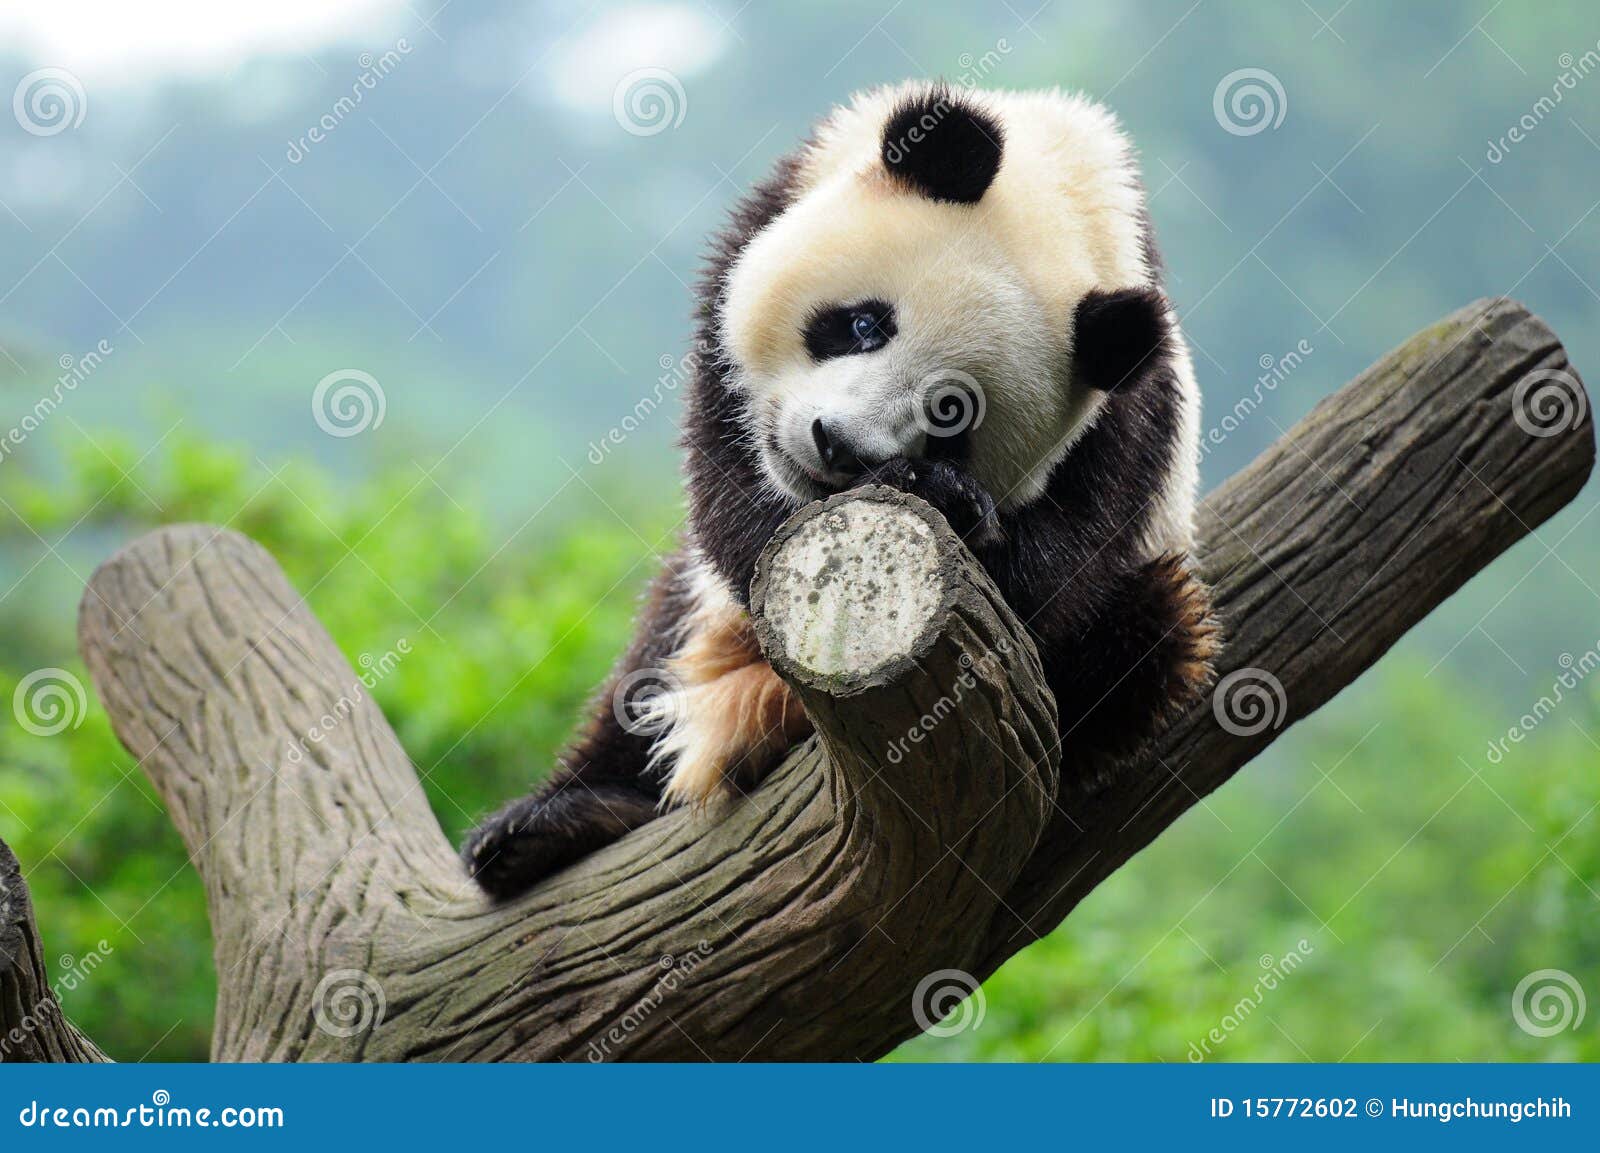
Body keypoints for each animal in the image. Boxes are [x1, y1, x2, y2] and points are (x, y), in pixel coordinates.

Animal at [463, 81, 1219, 900]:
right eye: (863, 325)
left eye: (951, 414)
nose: (834, 444)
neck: (1069, 191)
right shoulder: (772, 216)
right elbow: (730, 484)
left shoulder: (1128, 428)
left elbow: (1048, 576)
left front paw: (947, 499)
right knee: (653, 652)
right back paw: (554, 824)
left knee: (1150, 635)